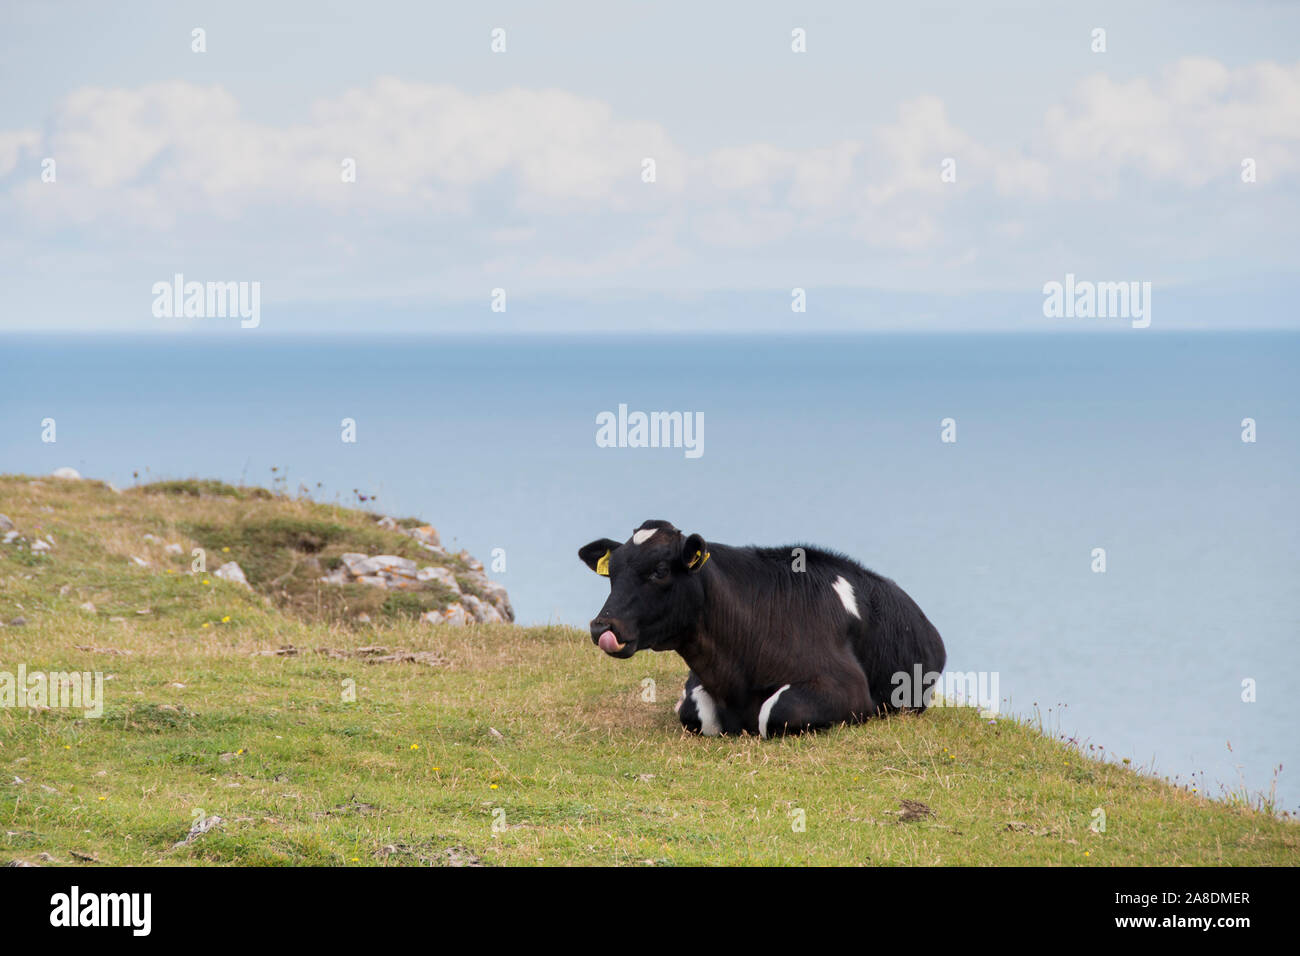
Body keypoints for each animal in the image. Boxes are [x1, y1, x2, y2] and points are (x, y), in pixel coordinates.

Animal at [578, 519, 946, 738]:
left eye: (660, 570)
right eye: (612, 572)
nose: (602, 626)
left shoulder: (847, 689)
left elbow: (776, 711)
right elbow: (692, 711)